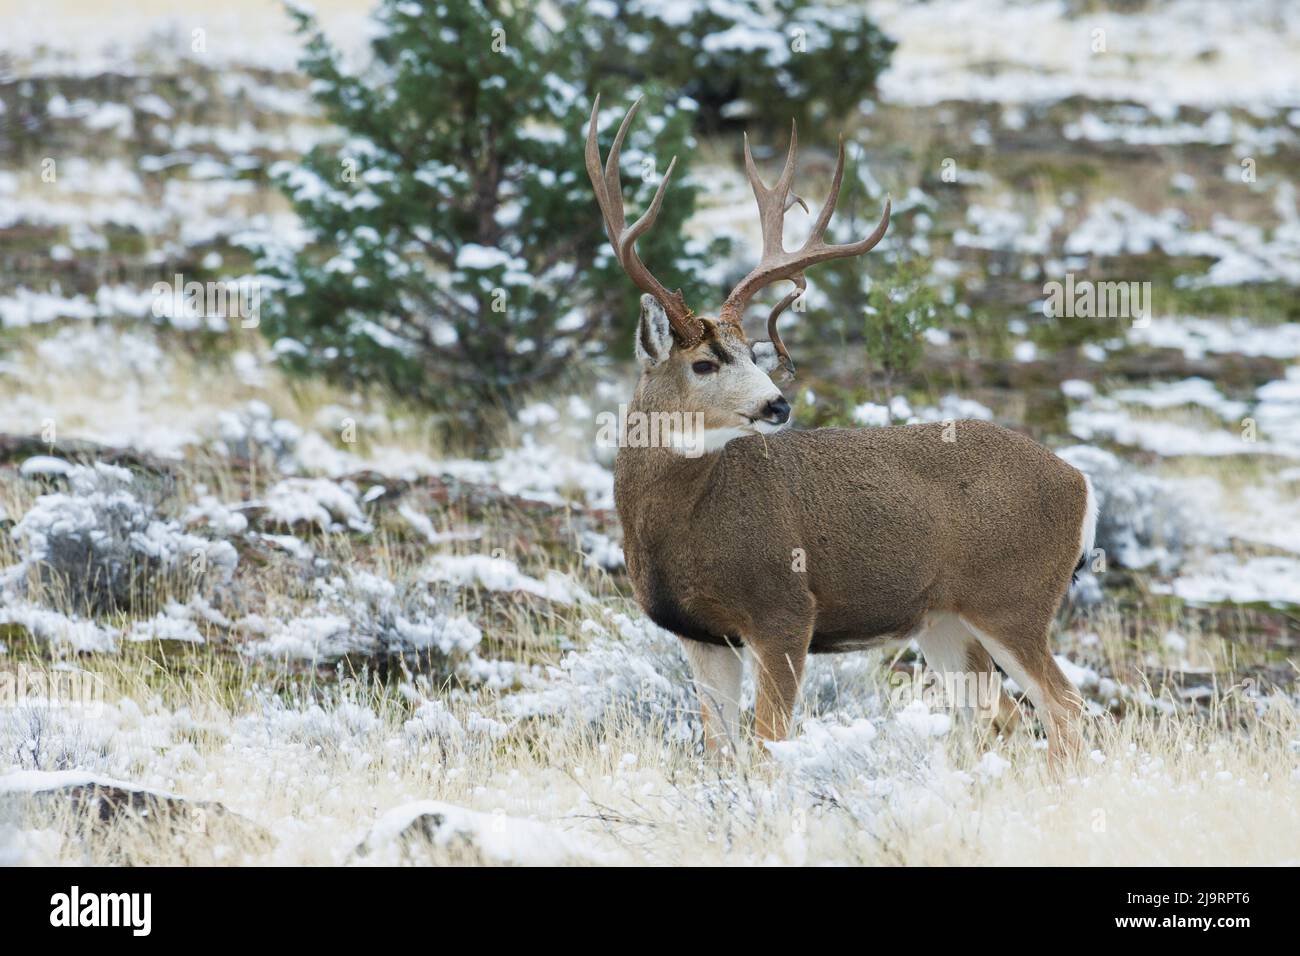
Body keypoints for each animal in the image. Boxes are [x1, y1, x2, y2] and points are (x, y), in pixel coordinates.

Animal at [586, 96, 1095, 768]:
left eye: (754, 351)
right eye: (705, 363)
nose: (777, 404)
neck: (682, 522)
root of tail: (1082, 483)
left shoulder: (784, 609)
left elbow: (768, 744)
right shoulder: (701, 635)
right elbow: (720, 751)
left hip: (1014, 600)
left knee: (1066, 708)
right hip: (946, 619)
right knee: (996, 717)